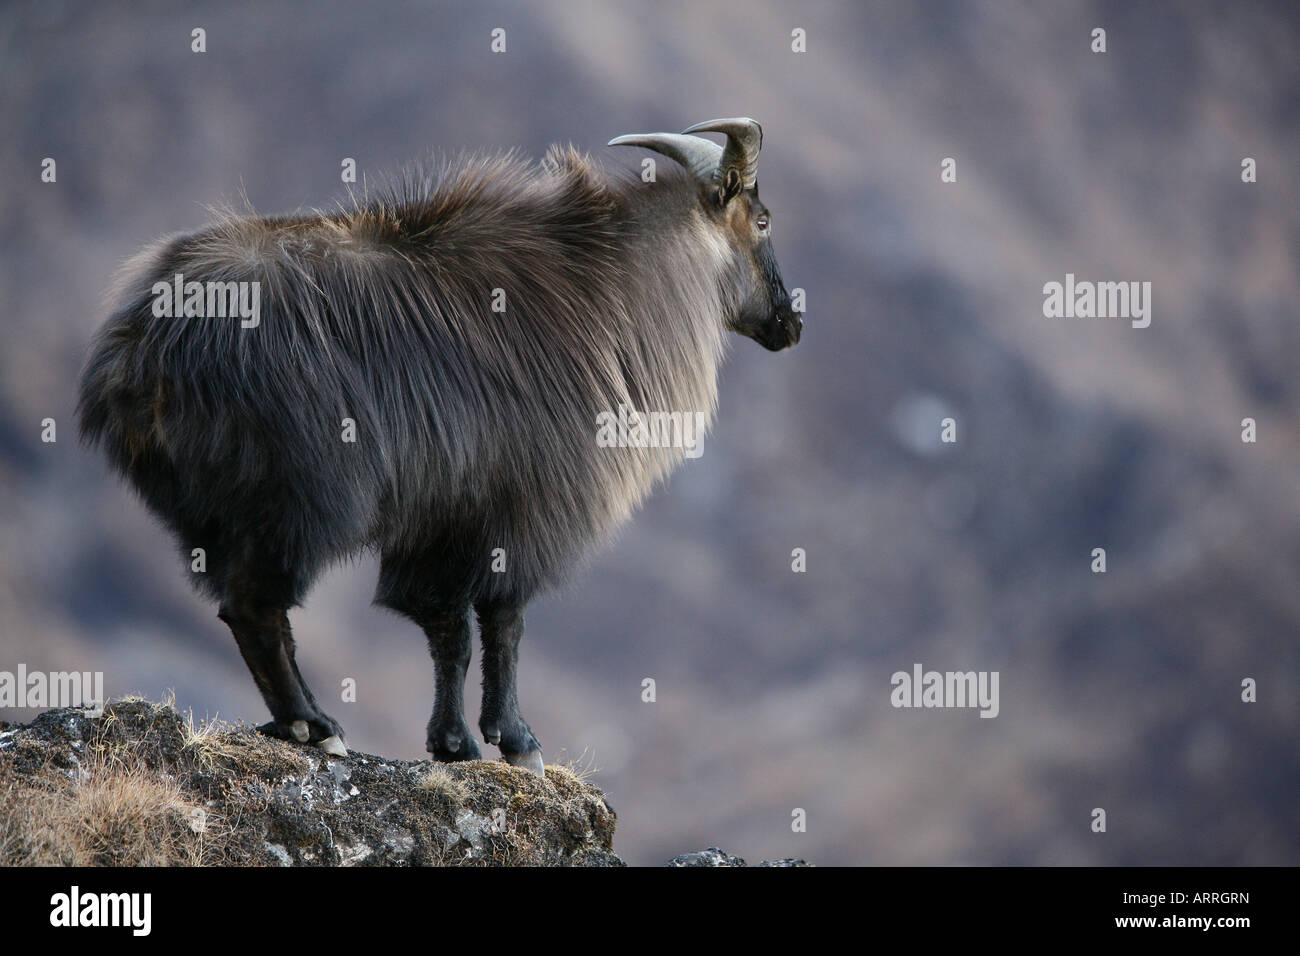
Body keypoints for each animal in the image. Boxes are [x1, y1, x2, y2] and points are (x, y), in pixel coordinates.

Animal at [77, 118, 801, 773]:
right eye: (763, 221)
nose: (791, 323)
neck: (618, 288)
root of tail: (142, 351)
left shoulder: (438, 524)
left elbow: (443, 630)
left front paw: (453, 744)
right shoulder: (516, 516)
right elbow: (499, 625)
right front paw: (514, 741)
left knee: (258, 612)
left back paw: (306, 723)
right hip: (298, 505)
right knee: (254, 607)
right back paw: (313, 726)